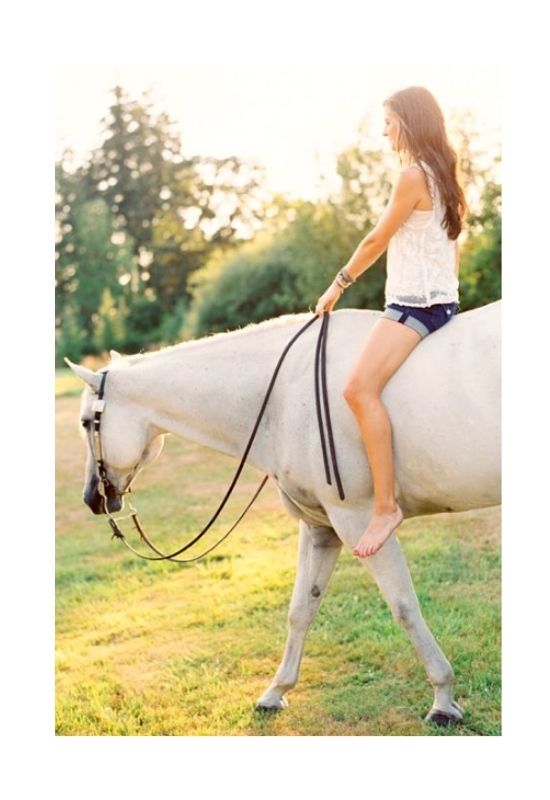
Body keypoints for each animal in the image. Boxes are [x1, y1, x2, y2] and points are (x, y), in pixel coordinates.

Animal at [66, 300, 501, 726]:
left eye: (88, 423)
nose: (92, 499)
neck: (283, 399)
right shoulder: (320, 528)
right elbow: (300, 610)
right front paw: (274, 693)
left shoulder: (358, 521)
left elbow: (404, 606)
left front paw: (443, 701)